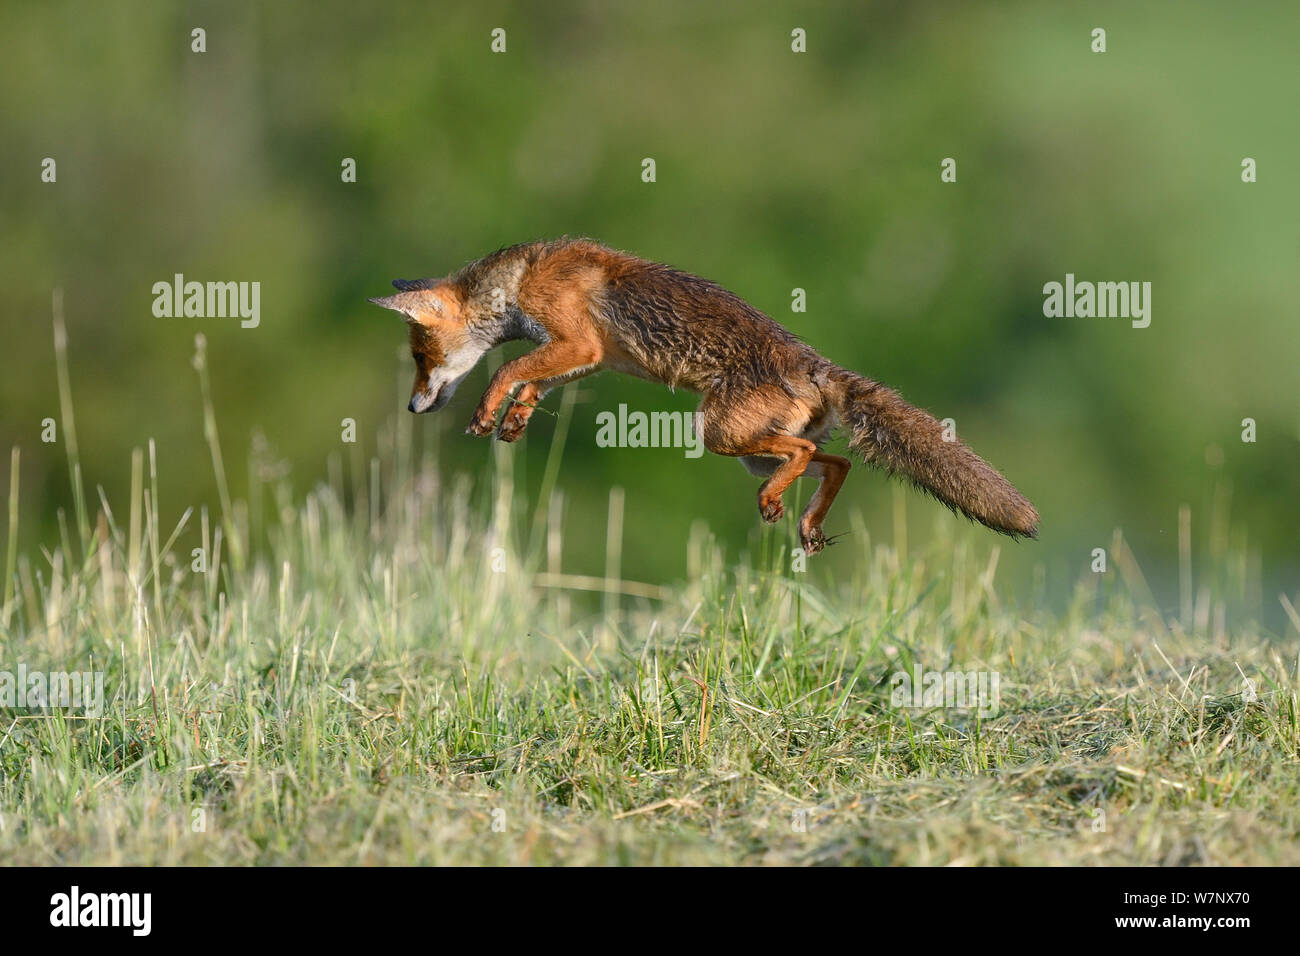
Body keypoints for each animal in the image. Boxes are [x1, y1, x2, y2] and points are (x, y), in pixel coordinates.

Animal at [369, 239, 1038, 554]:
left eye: (419, 359)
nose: (413, 407)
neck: (520, 278)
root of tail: (814, 365)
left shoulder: (577, 340)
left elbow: (506, 370)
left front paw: (489, 413)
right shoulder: (588, 355)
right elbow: (530, 378)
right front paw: (515, 420)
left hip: (718, 433)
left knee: (806, 456)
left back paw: (779, 506)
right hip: (750, 450)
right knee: (836, 462)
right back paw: (807, 522)